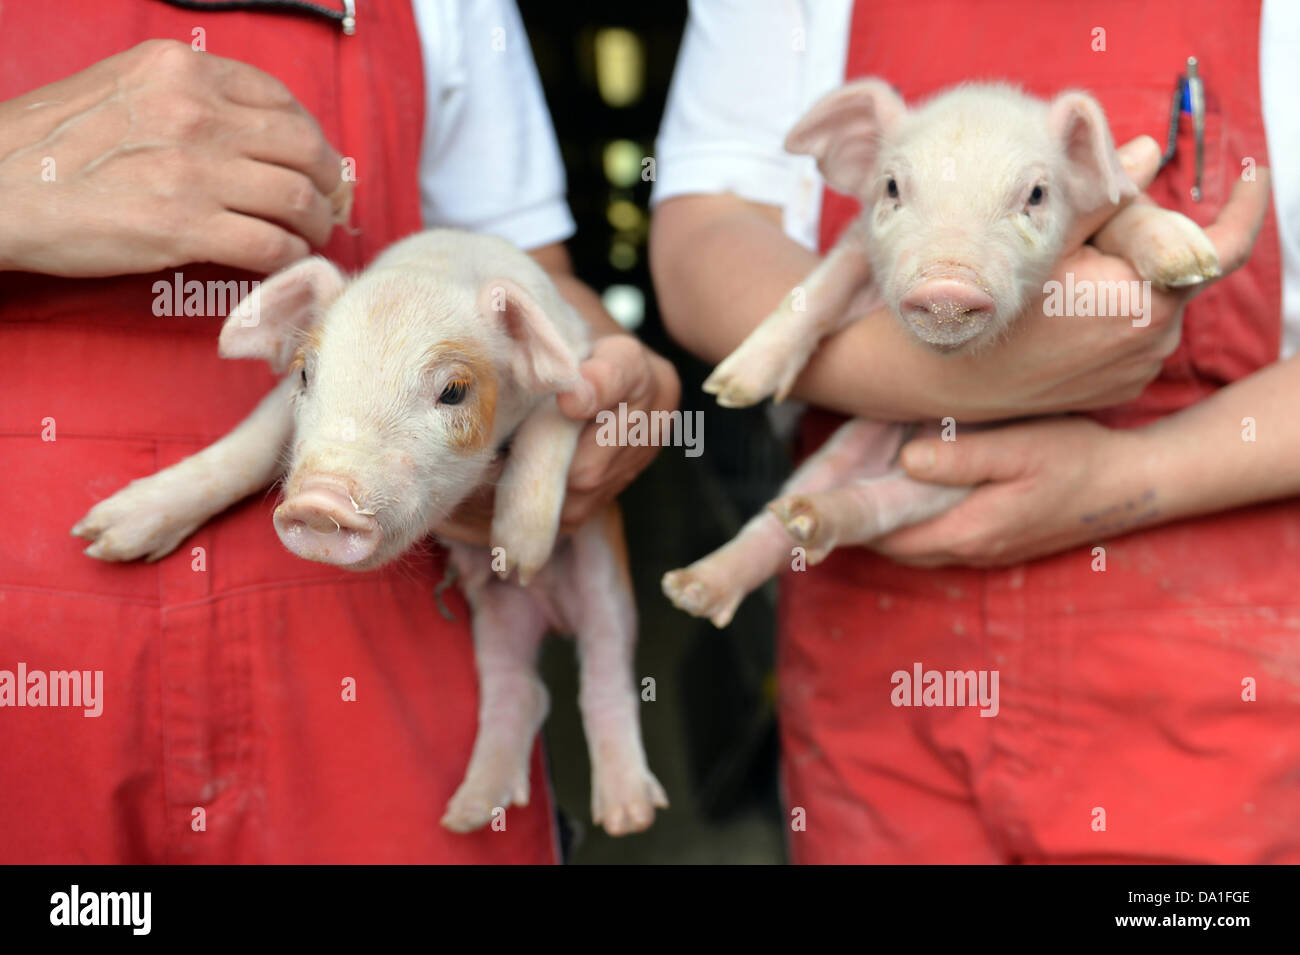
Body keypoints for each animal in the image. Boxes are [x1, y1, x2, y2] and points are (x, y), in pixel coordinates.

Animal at [72, 229, 667, 835]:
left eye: (455, 390)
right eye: (306, 375)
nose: (320, 502)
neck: (434, 271)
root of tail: (544, 608)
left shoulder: (586, 366)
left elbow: (557, 419)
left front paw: (516, 551)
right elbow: (251, 445)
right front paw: (99, 536)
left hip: (603, 575)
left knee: (606, 668)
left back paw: (628, 815)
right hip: (496, 616)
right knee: (521, 688)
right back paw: (467, 814)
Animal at [663, 80, 1221, 627]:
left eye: (1037, 194)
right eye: (891, 187)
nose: (947, 289)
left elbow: (1130, 212)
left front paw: (1192, 262)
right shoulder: (858, 249)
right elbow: (818, 289)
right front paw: (730, 387)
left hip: (952, 478)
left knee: (879, 503)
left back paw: (802, 523)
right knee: (786, 511)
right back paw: (693, 585)